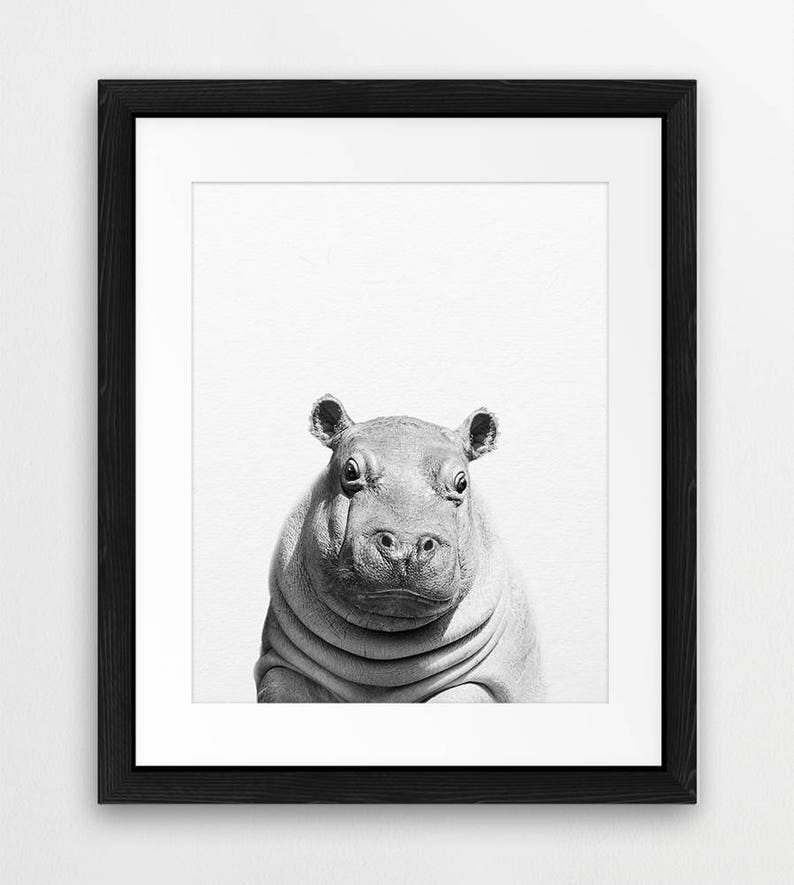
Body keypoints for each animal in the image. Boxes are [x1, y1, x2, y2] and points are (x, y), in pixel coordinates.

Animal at [254, 395, 542, 702]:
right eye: (350, 471)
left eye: (462, 482)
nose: (405, 545)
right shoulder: (280, 665)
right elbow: (281, 688)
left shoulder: (486, 683)